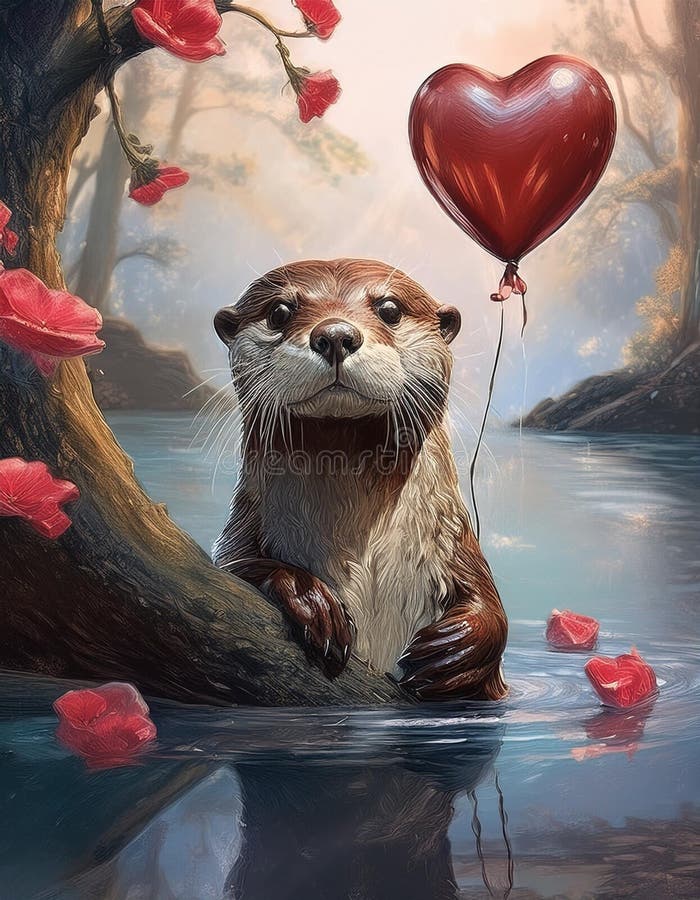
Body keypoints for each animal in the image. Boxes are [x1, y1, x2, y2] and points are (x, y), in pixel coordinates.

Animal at [212, 259, 507, 701]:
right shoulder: (241, 531)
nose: (335, 334)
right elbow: (235, 567)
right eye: (279, 312)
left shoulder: (455, 543)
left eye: (390, 309)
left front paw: (456, 650)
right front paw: (310, 598)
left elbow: (491, 606)